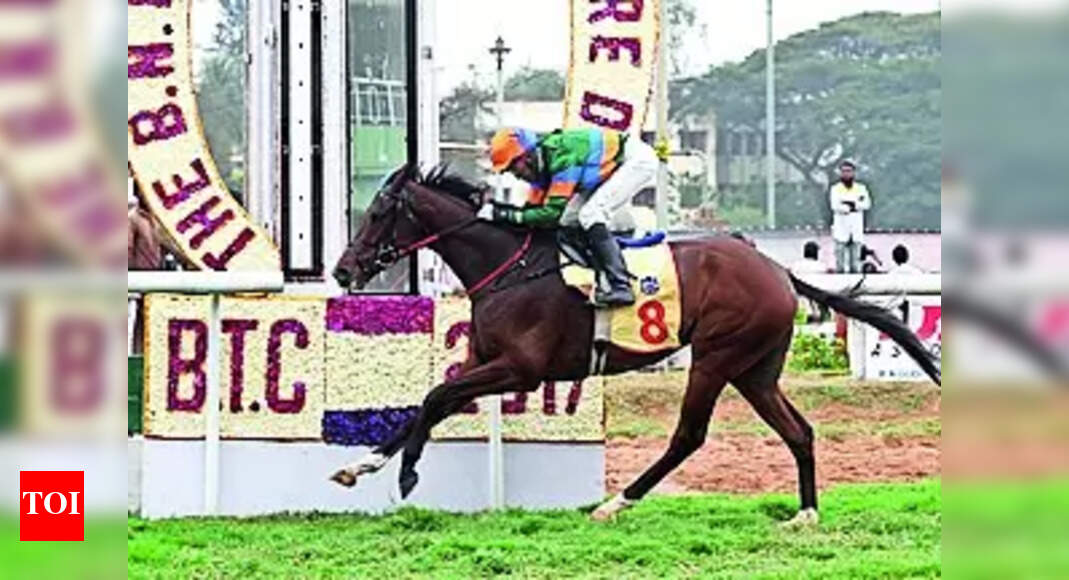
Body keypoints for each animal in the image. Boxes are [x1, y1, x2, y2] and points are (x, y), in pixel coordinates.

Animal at [330, 164, 940, 524]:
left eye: (378, 213)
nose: (342, 270)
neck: (512, 267)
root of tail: (776, 268)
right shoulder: (486, 360)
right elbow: (428, 402)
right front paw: (361, 466)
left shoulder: (521, 368)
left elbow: (435, 398)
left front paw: (406, 474)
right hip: (755, 368)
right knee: (799, 430)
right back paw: (806, 514)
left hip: (716, 357)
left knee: (689, 436)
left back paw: (615, 502)